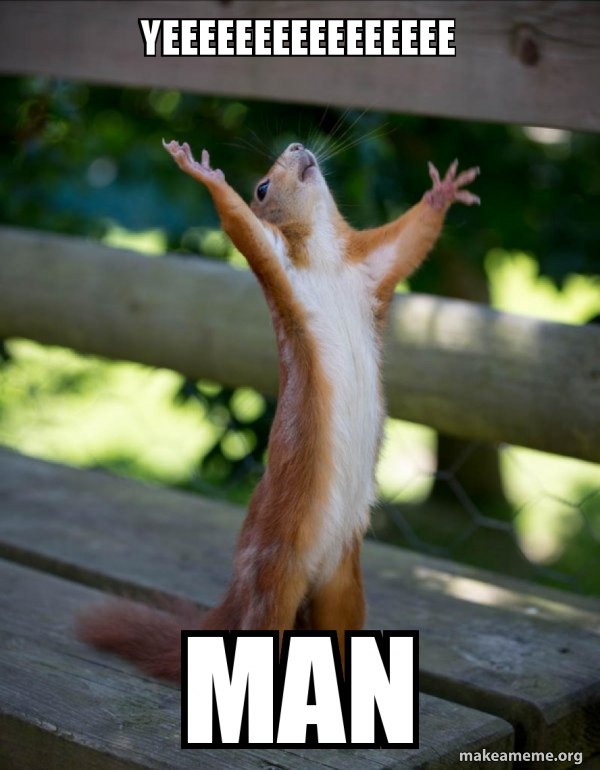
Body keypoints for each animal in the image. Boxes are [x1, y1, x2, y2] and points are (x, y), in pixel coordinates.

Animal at [77, 139, 479, 682]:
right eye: (262, 187)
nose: (296, 146)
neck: (327, 259)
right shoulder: (278, 265)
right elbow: (241, 227)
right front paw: (204, 173)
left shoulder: (372, 266)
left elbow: (410, 239)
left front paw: (442, 193)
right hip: (274, 578)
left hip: (344, 589)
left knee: (340, 634)